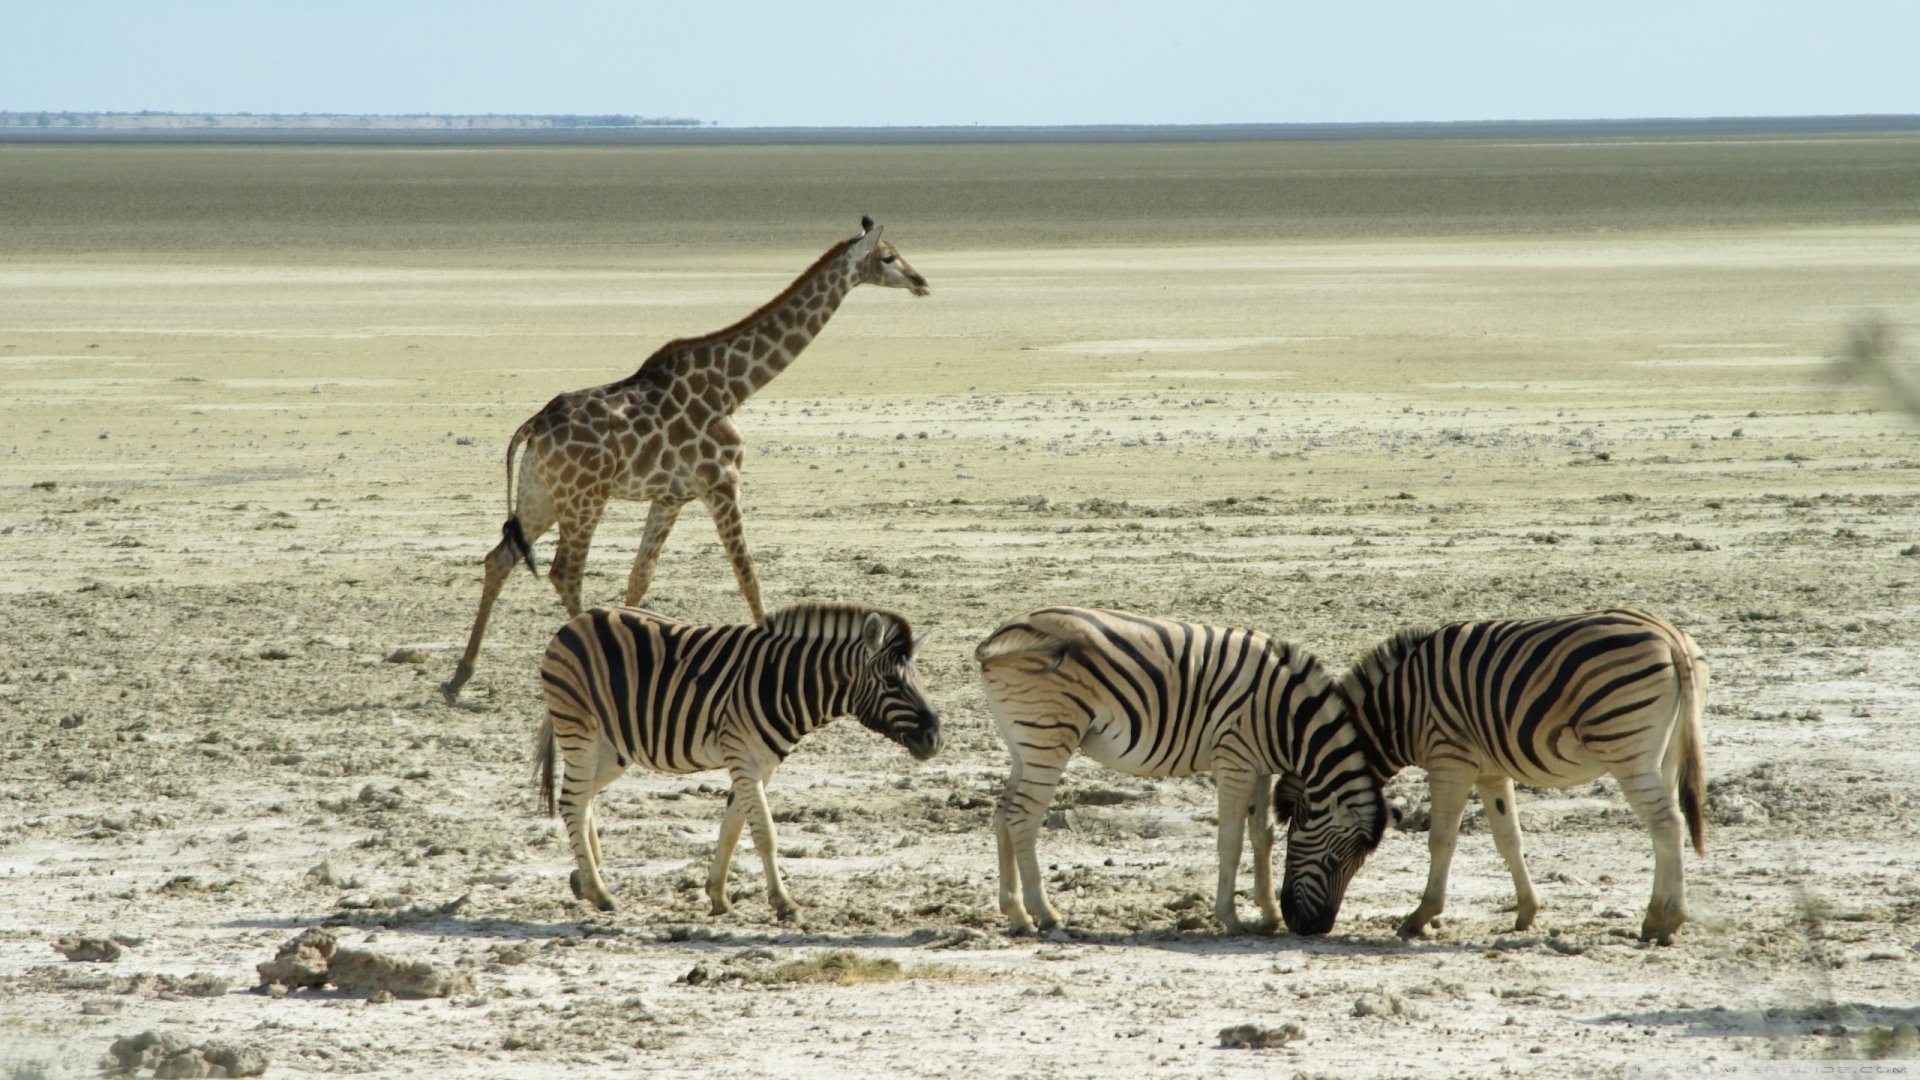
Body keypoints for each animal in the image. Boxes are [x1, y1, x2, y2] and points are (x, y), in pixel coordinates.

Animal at [441, 217, 930, 704]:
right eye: (888, 257)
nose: (921, 281)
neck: (732, 387)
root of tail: (533, 426)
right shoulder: (722, 483)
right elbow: (748, 577)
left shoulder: (672, 497)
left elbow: (640, 577)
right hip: (585, 498)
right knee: (565, 573)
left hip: (540, 494)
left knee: (500, 558)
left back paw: (459, 677)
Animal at [535, 602, 941, 917]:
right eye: (891, 683)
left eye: (921, 681)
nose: (935, 739)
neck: (786, 684)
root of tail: (578, 619)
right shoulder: (742, 757)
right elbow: (765, 833)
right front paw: (783, 903)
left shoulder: (762, 765)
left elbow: (732, 827)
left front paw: (718, 896)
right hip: (579, 726)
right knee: (572, 802)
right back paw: (600, 891)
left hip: (614, 746)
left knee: (584, 796)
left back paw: (585, 877)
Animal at [975, 606, 1386, 935]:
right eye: (1333, 862)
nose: (1316, 929)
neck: (1287, 716)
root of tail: (1000, 633)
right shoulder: (1234, 761)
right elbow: (1231, 840)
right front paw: (1231, 918)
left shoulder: (1259, 768)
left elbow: (1263, 835)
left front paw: (1268, 914)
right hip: (1049, 736)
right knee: (1022, 818)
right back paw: (1045, 915)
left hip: (1023, 744)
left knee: (1002, 814)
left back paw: (1015, 913)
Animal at [1280, 608, 1708, 944]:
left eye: (1295, 834)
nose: (1297, 923)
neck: (1401, 708)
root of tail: (1671, 637)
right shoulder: (1490, 772)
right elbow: (1509, 840)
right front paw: (1527, 911)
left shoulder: (1449, 760)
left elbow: (1441, 840)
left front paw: (1421, 917)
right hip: (1664, 753)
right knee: (1664, 828)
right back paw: (1655, 918)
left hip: (1626, 749)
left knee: (1667, 823)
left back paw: (1669, 922)